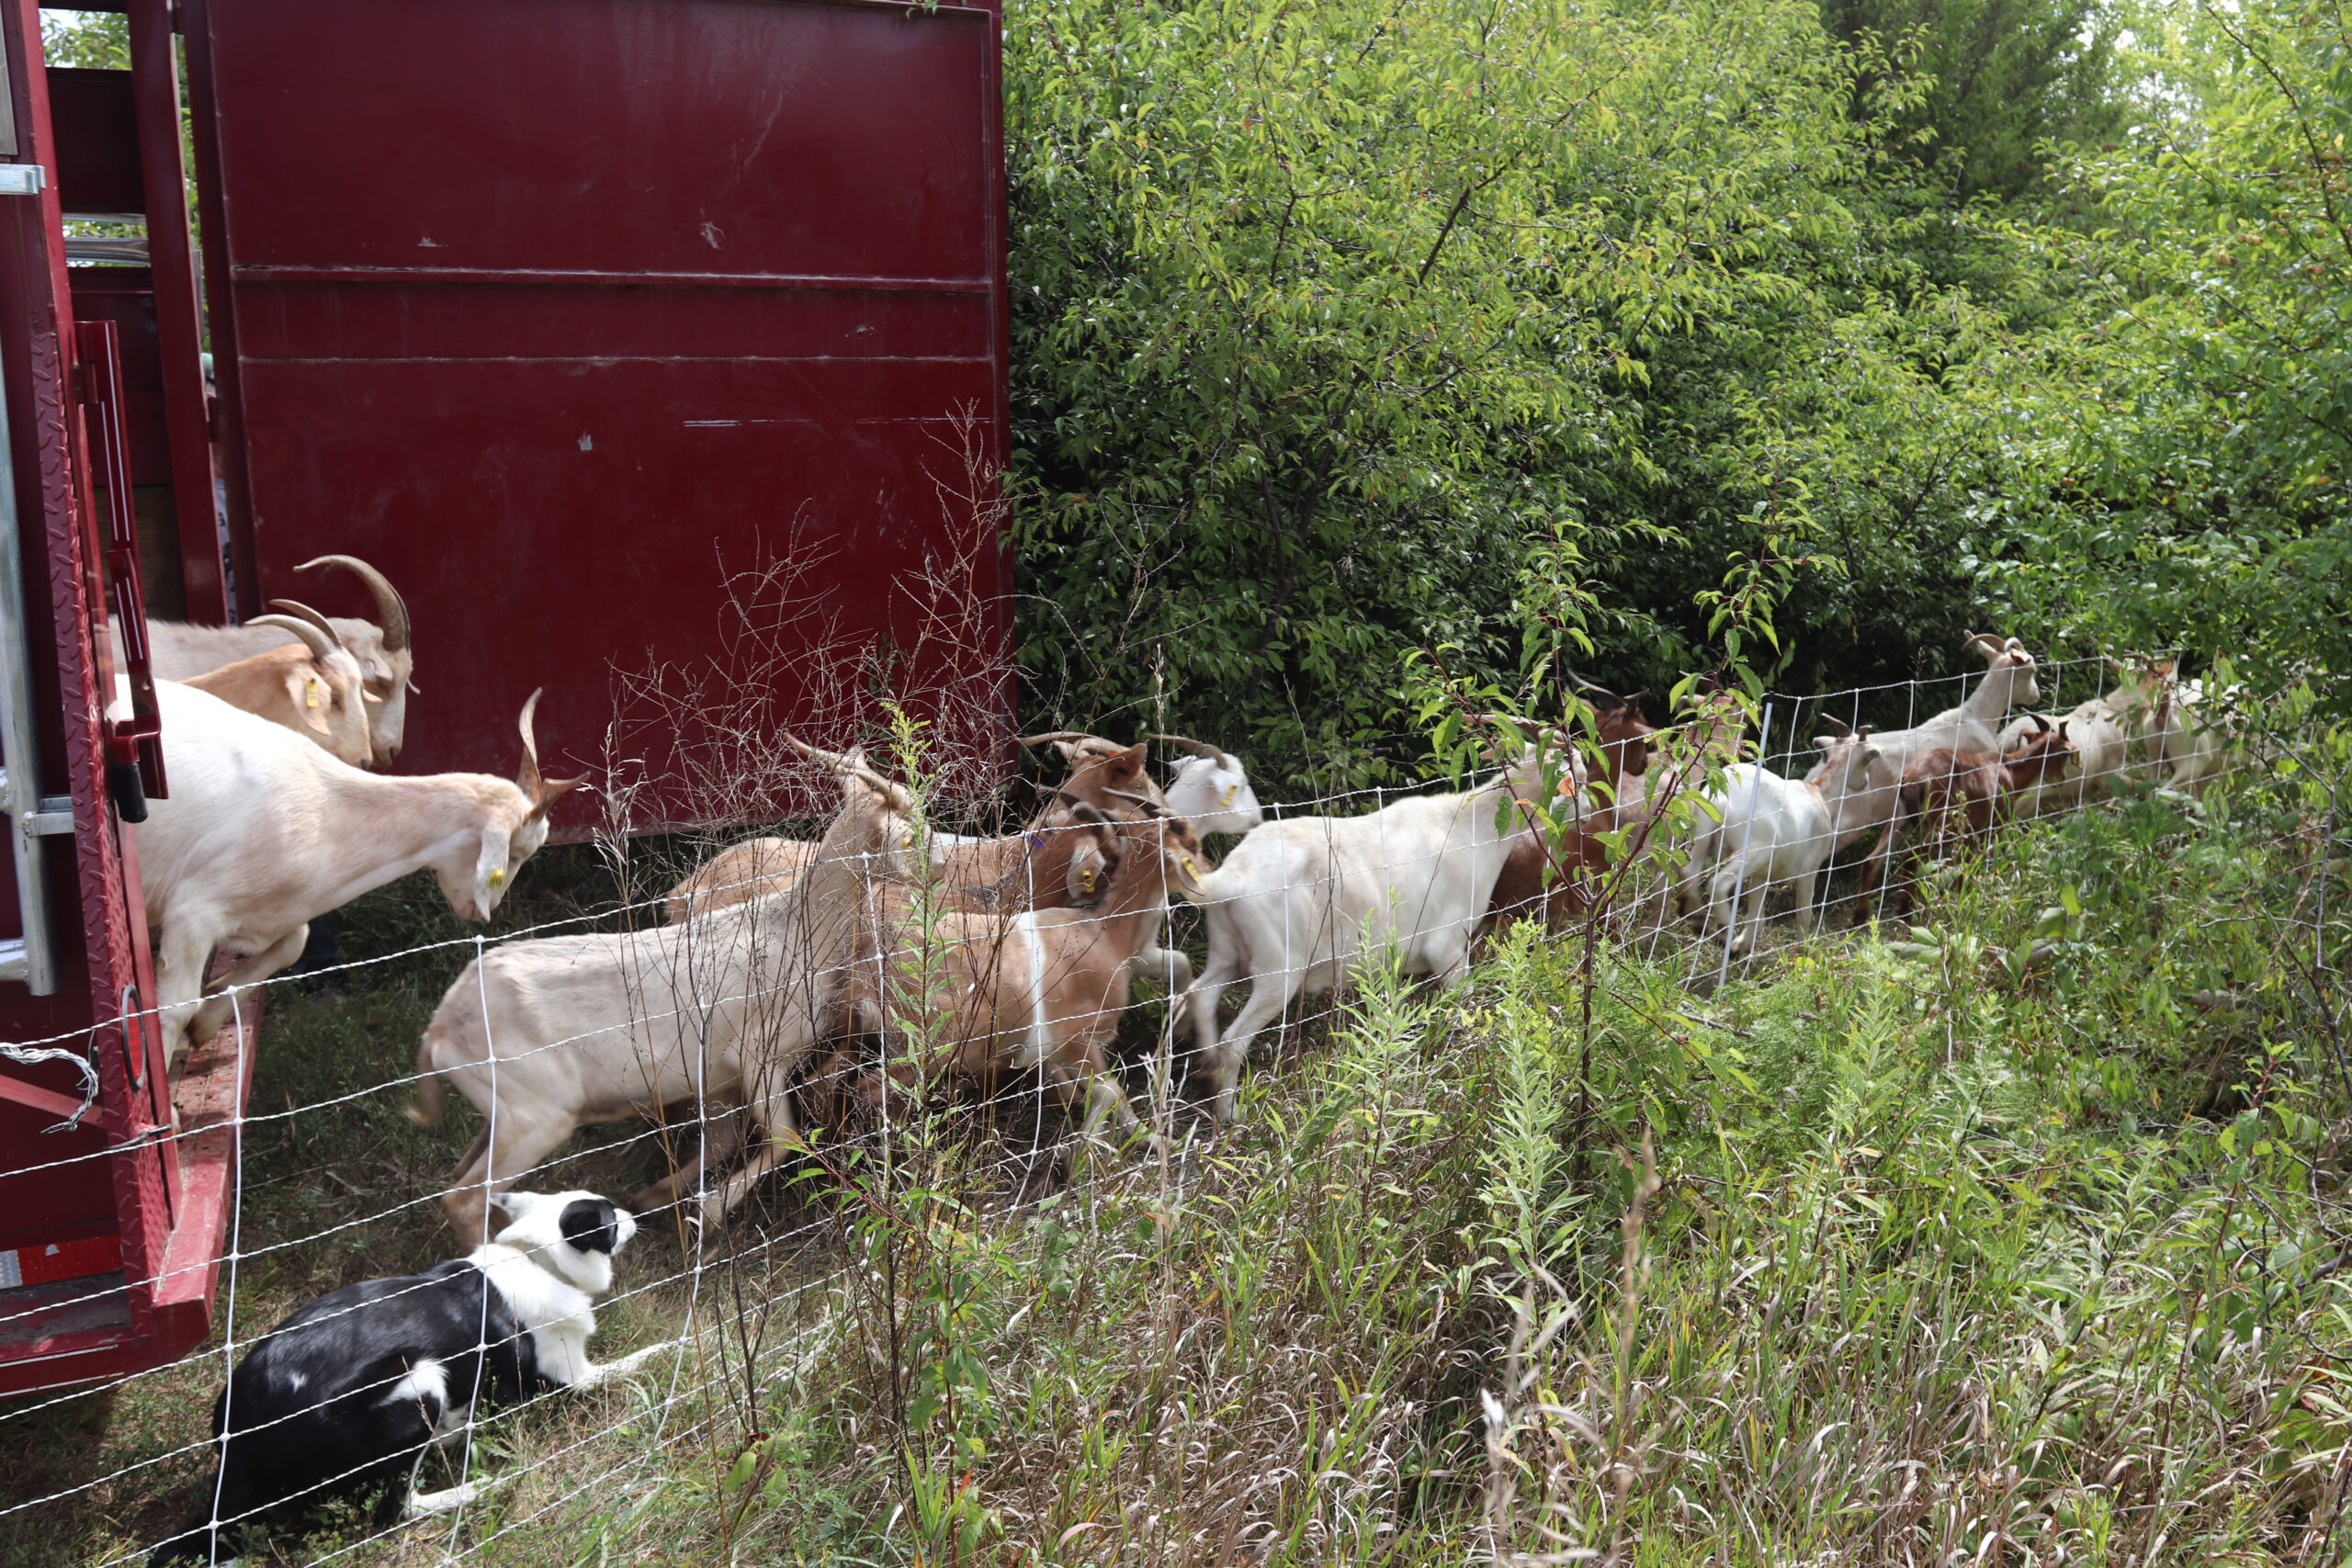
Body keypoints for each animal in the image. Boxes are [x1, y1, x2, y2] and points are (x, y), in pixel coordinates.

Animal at [137, 682, 577, 1071]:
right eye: (515, 854)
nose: (490, 908)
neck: (326, 809)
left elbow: (294, 942)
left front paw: (208, 1016)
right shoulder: (194, 915)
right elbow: (172, 1008)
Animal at [408, 742, 925, 1240]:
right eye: (909, 836)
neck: (798, 930)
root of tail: (439, 1030)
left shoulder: (718, 1075)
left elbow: (724, 1139)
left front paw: (657, 1198)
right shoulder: (756, 1055)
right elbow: (785, 1138)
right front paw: (707, 1216)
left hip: (503, 1114)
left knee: (463, 1178)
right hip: (533, 1118)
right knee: (462, 1200)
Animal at [1182, 748, 1548, 1124]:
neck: (1471, 829)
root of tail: (1229, 878)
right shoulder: (1446, 947)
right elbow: (1464, 1006)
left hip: (1227, 952)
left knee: (1200, 996)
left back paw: (1207, 1077)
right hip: (1278, 970)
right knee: (1233, 1040)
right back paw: (1229, 1115)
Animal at [1856, 718, 2079, 908]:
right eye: (2064, 755)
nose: (2061, 778)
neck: (2010, 771)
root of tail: (1915, 779)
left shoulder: (1971, 833)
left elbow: (1960, 869)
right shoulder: (1992, 826)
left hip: (1903, 817)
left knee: (1872, 859)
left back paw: (1860, 920)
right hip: (1944, 823)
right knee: (1909, 856)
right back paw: (1905, 912)